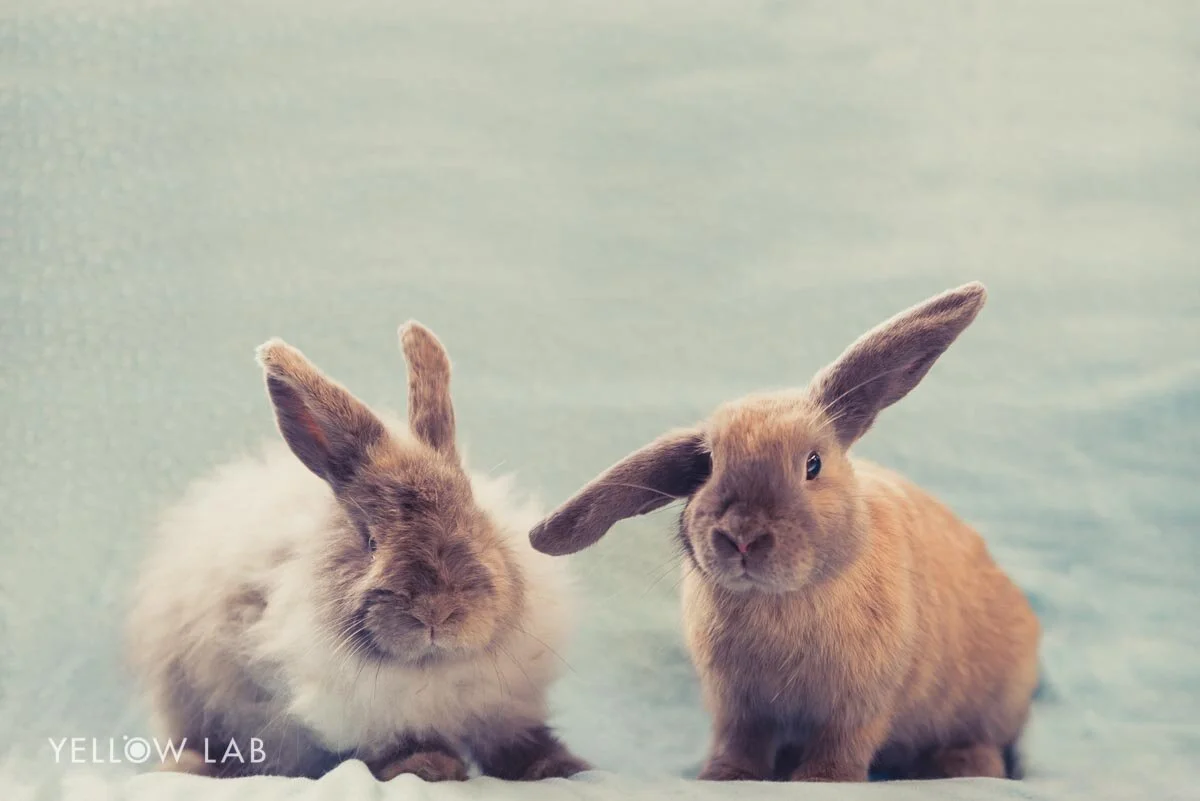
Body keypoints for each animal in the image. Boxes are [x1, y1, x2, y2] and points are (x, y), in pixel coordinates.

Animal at [128, 322, 590, 782]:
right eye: (370, 542)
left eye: (476, 521)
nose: (436, 612)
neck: (433, 666)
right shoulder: (366, 714)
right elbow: (397, 743)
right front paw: (429, 767)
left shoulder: (505, 704)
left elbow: (517, 737)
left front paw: (559, 767)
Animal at [529, 283, 1040, 783]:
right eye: (705, 466)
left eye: (812, 464)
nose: (742, 536)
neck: (777, 602)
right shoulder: (738, 704)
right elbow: (741, 740)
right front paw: (726, 776)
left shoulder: (861, 702)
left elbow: (842, 743)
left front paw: (821, 781)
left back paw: (961, 767)